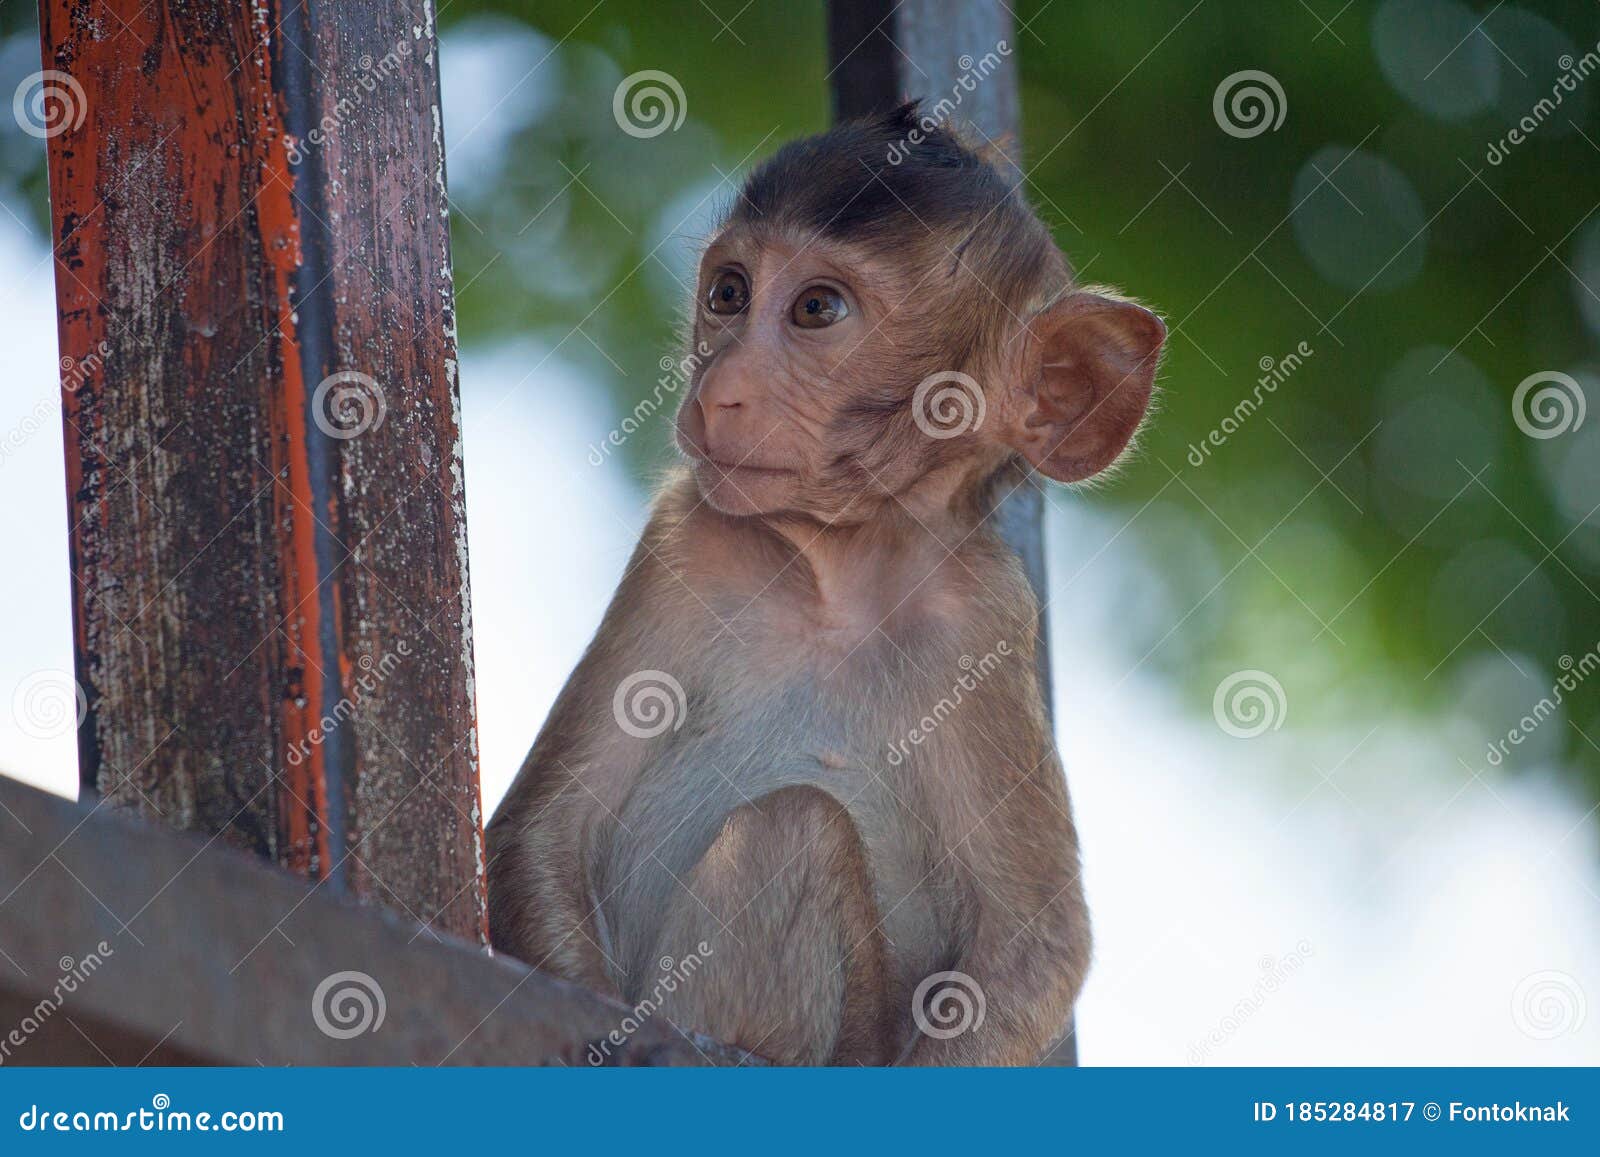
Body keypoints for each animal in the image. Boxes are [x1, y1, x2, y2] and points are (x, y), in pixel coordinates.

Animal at [486, 102, 1165, 1066]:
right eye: (729, 293)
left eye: (817, 309)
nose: (718, 386)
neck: (836, 573)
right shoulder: (686, 539)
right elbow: (547, 827)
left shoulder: (986, 618)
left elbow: (1033, 941)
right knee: (797, 825)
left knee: (793, 826)